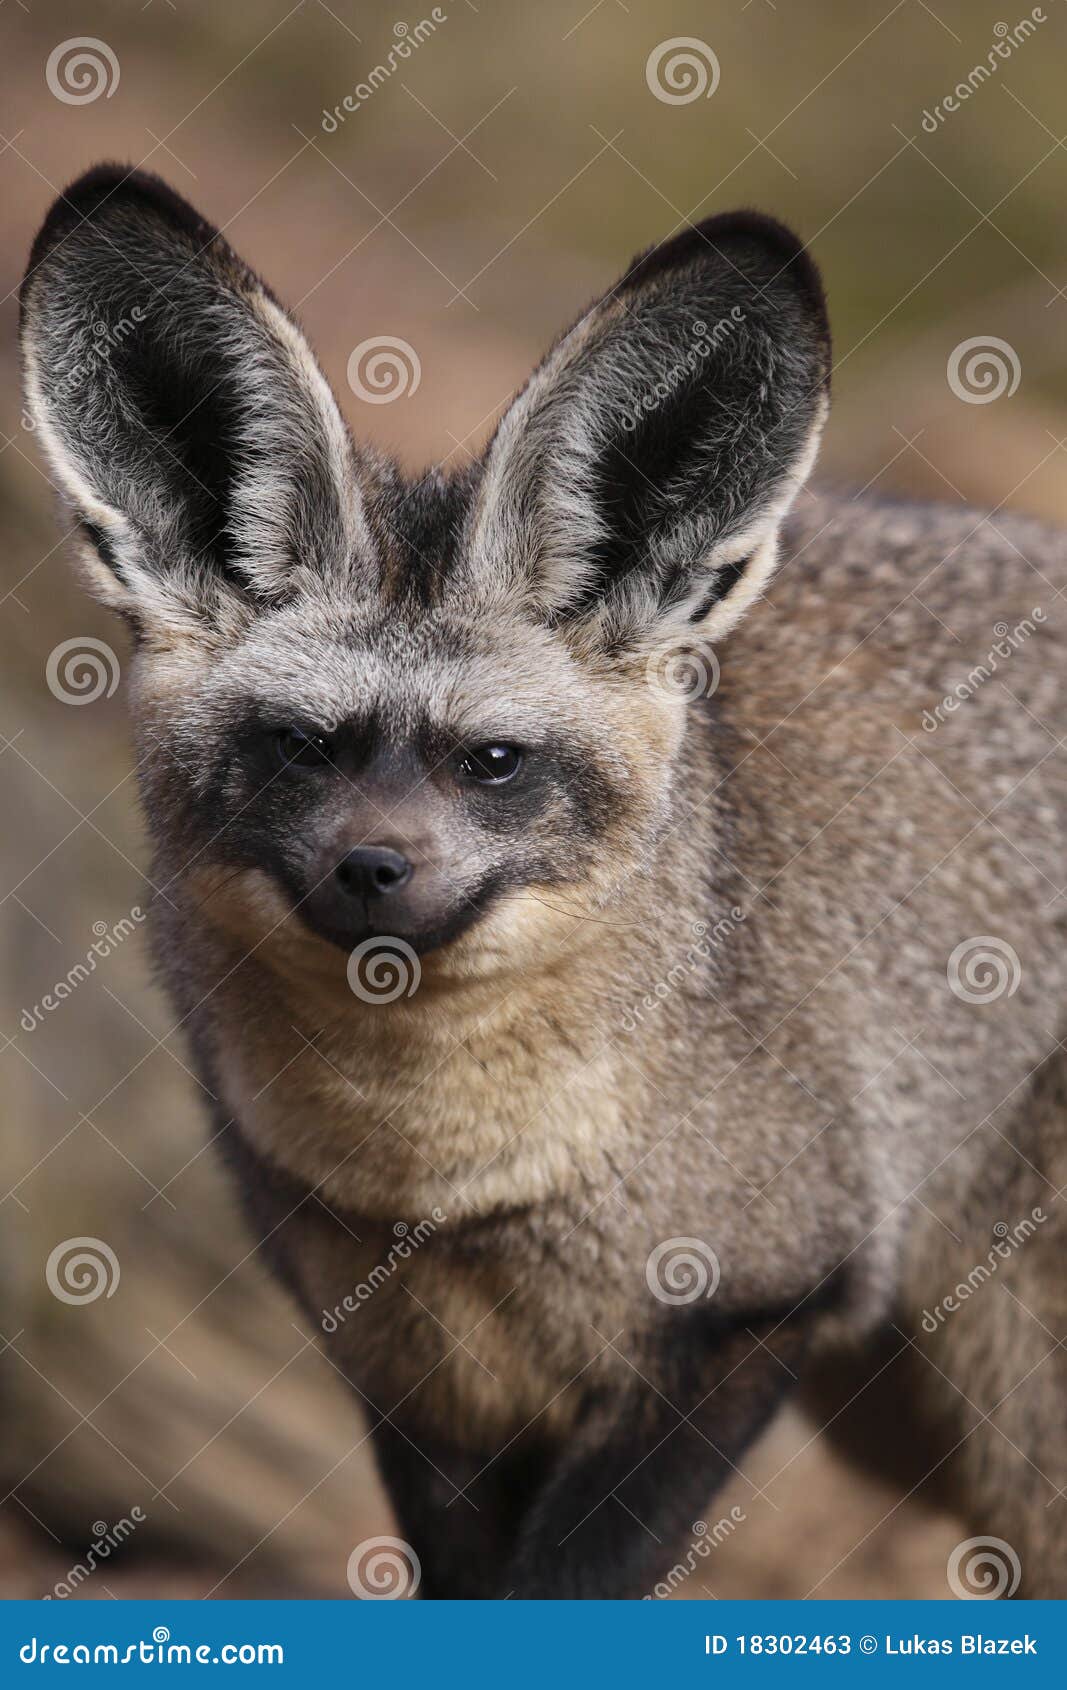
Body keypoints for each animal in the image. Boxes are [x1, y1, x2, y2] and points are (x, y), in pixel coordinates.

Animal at [20, 163, 1067, 1600]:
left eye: (494, 762)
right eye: (300, 746)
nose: (372, 867)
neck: (447, 1185)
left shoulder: (751, 1313)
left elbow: (572, 1583)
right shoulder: (419, 1385)